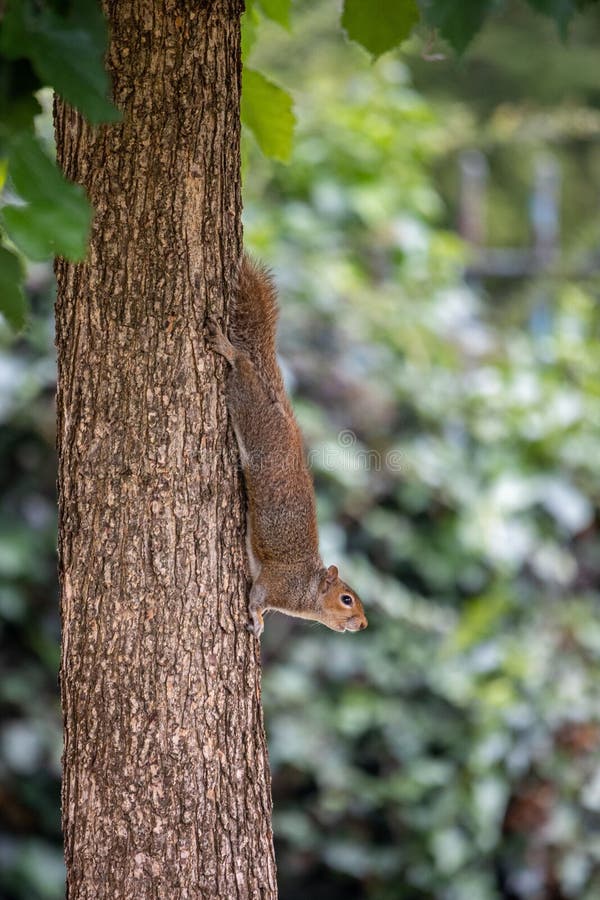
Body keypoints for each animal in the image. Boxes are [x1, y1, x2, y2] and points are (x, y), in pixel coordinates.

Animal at [207, 255, 368, 639]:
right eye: (347, 599)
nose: (364, 623)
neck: (306, 588)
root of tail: (277, 403)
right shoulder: (275, 582)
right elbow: (256, 598)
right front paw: (257, 620)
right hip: (250, 408)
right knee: (244, 369)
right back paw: (228, 348)